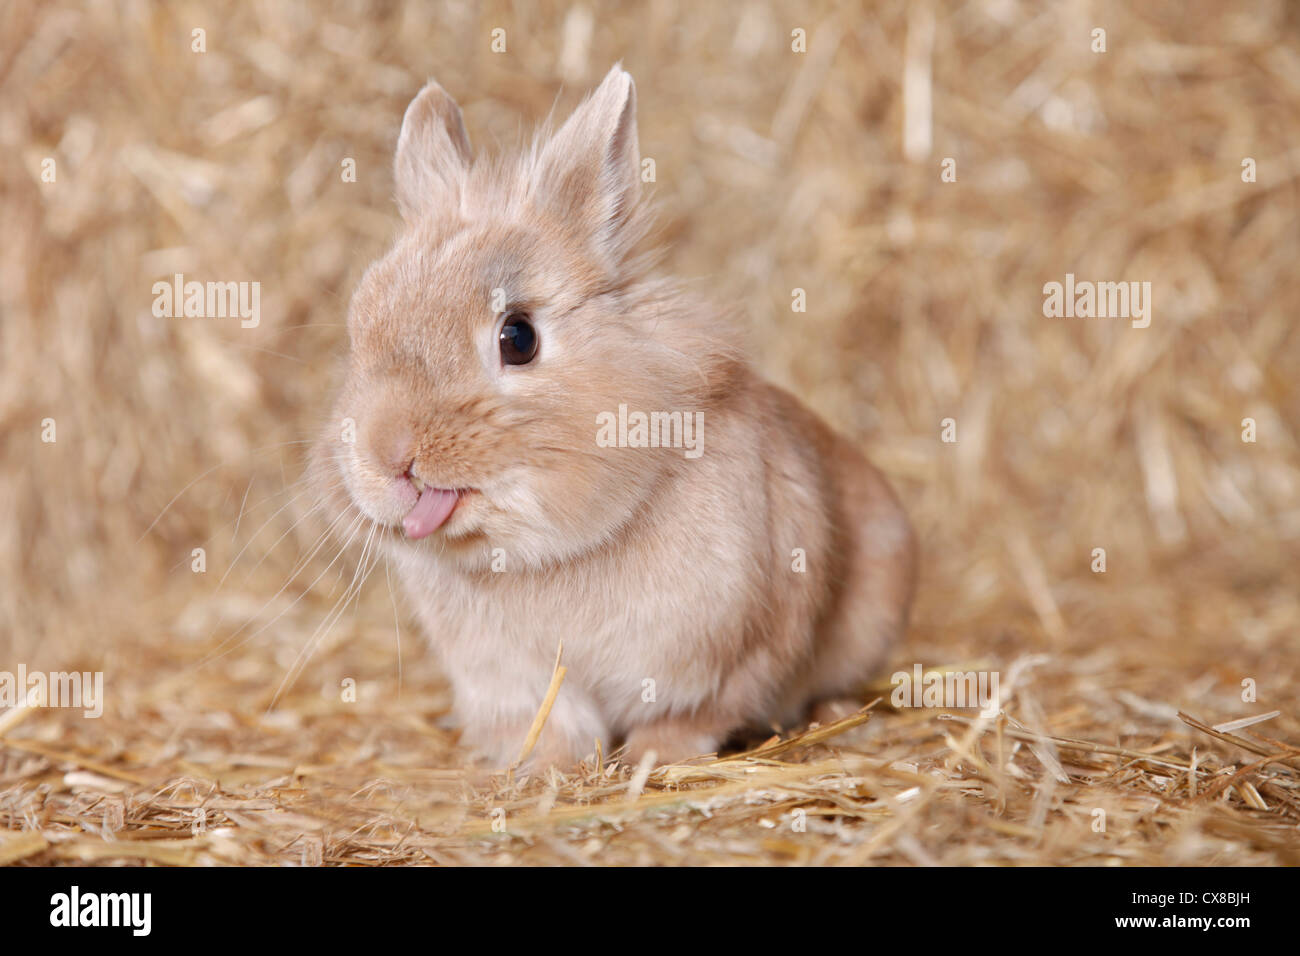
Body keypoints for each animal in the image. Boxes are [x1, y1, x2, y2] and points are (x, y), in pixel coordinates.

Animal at [310, 64, 917, 769]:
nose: (389, 455)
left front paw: (654, 759)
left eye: (518, 337)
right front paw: (546, 770)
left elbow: (691, 718)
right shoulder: (513, 680)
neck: (537, 553)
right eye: (359, 329)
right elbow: (554, 727)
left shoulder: (724, 660)